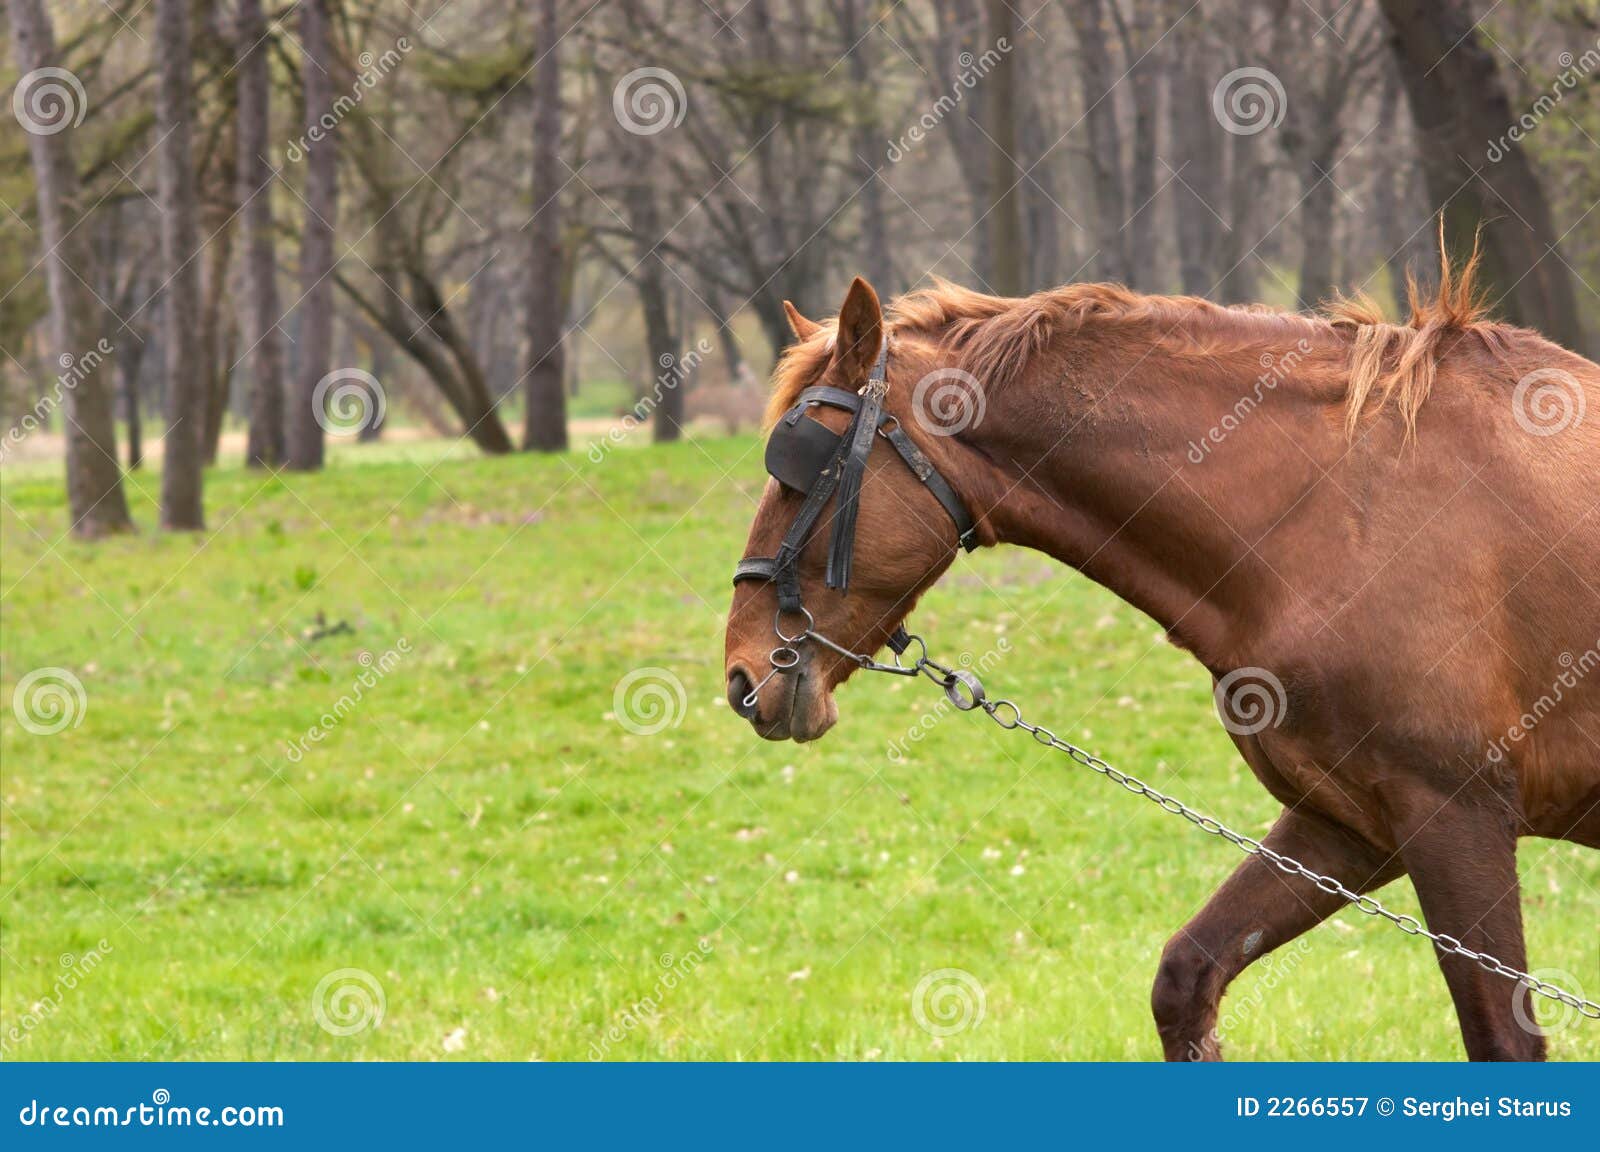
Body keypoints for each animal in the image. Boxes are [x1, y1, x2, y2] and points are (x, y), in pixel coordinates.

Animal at [722, 255, 1599, 1061]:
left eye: (802, 462)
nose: (741, 675)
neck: (1342, 508)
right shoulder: (1352, 823)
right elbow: (1186, 979)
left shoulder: (1455, 814)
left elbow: (1502, 1041)